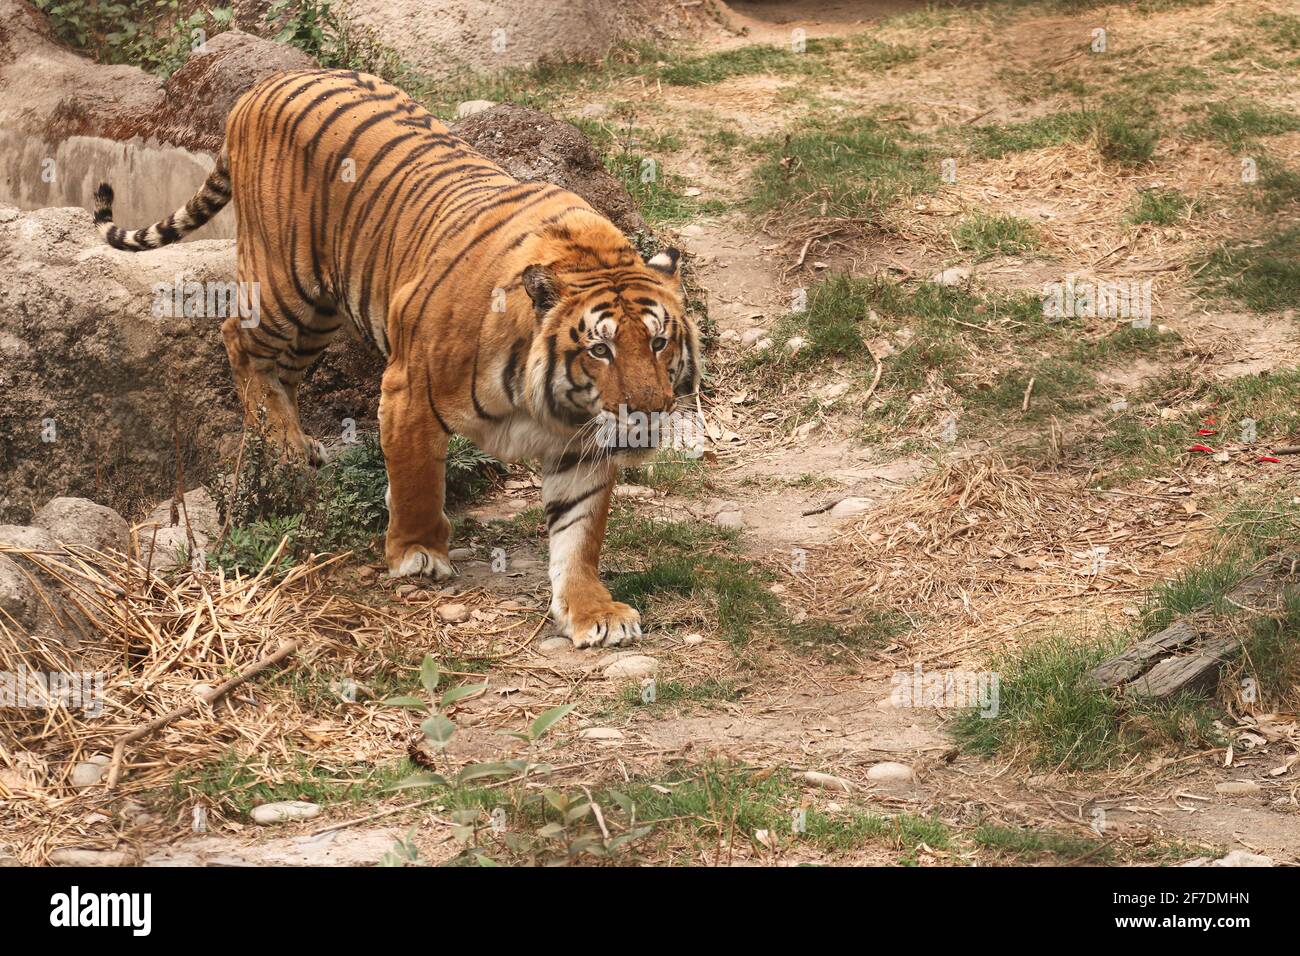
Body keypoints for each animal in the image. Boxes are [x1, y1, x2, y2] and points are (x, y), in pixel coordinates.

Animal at [93, 68, 701, 649]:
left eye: (657, 342)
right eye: (599, 349)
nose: (646, 417)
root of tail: (266, 84)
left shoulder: (582, 440)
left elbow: (579, 533)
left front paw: (593, 613)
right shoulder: (410, 392)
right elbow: (416, 482)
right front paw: (416, 555)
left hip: (322, 313)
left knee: (282, 371)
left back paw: (297, 444)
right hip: (285, 285)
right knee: (237, 339)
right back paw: (279, 446)